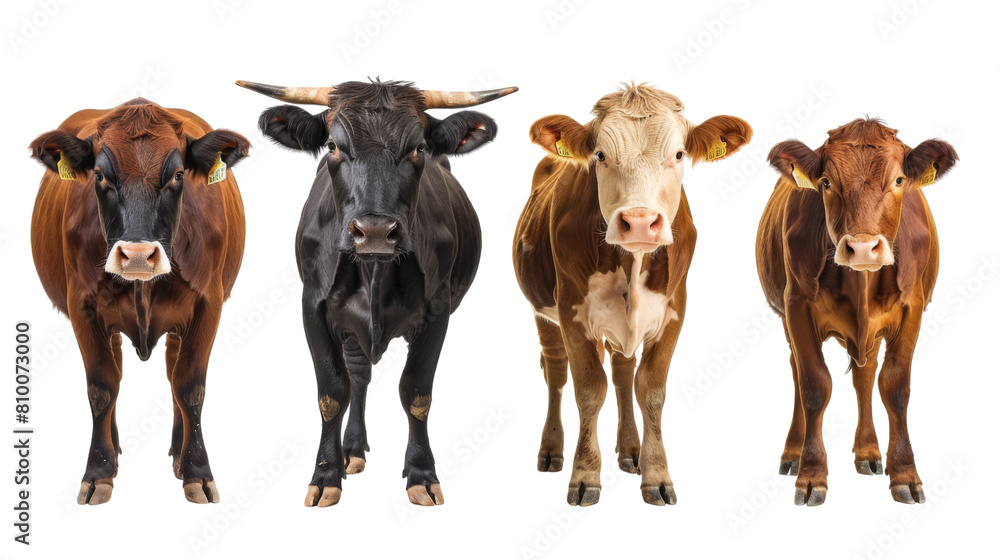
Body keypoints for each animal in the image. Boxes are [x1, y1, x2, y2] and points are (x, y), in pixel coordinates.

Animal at [28, 99, 250, 505]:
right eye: (100, 175)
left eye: (177, 175)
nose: (136, 256)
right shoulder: (82, 306)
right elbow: (102, 387)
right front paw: (98, 472)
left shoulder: (208, 305)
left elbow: (190, 387)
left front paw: (197, 471)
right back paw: (114, 449)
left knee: (173, 372)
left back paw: (178, 452)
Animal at [237, 78, 516, 507]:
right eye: (333, 146)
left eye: (419, 147)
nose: (374, 231)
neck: (374, 270)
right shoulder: (312, 306)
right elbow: (332, 392)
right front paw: (326, 475)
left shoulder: (438, 311)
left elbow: (416, 392)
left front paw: (421, 474)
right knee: (358, 375)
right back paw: (351, 450)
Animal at [513, 84, 752, 506]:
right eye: (600, 155)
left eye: (679, 154)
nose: (640, 221)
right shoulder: (572, 314)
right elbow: (589, 390)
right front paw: (584, 475)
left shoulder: (674, 313)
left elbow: (650, 390)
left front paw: (656, 473)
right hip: (543, 312)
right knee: (556, 371)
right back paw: (552, 448)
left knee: (624, 373)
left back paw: (630, 449)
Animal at [756, 118, 958, 506]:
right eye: (826, 182)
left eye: (899, 180)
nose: (863, 248)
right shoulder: (796, 306)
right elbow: (814, 385)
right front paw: (811, 474)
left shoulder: (912, 309)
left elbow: (895, 387)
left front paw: (904, 473)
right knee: (797, 372)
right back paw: (793, 452)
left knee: (865, 376)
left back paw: (868, 452)